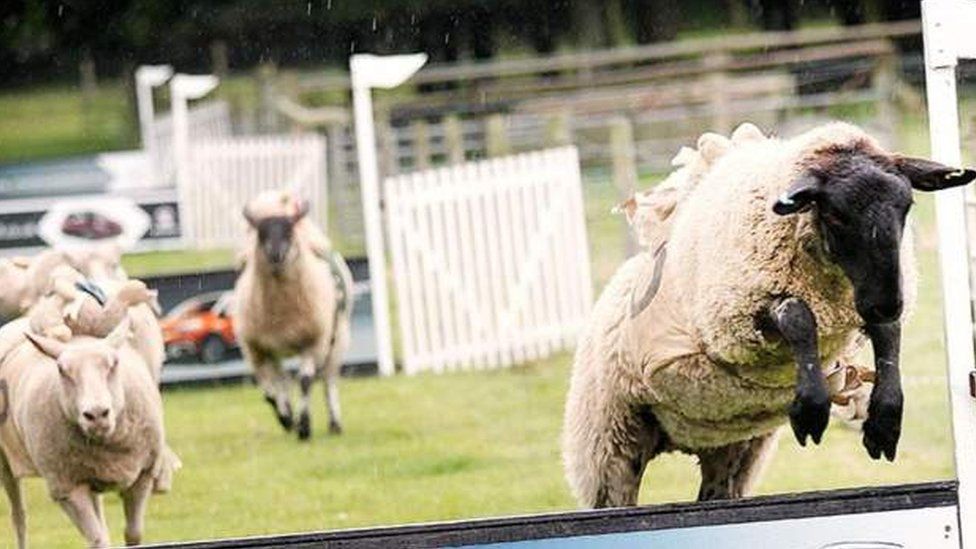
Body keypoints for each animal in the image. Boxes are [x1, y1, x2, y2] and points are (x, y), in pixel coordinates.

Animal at [0, 319, 175, 548]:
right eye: (61, 370)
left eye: (114, 363)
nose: (97, 414)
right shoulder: (66, 488)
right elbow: (98, 540)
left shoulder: (143, 474)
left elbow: (134, 533)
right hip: (6, 462)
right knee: (19, 516)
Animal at [234, 190, 353, 440]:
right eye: (261, 233)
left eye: (289, 231)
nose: (275, 254)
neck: (281, 311)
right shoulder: (257, 350)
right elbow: (269, 393)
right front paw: (287, 418)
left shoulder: (313, 342)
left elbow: (305, 382)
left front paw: (304, 427)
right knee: (282, 381)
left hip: (337, 340)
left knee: (328, 380)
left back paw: (334, 423)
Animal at [562, 121, 976, 508]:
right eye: (837, 215)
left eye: (906, 207)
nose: (888, 303)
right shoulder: (739, 321)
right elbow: (798, 316)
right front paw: (811, 408)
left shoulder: (862, 302)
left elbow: (888, 338)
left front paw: (884, 423)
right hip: (611, 446)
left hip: (733, 451)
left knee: (715, 494)